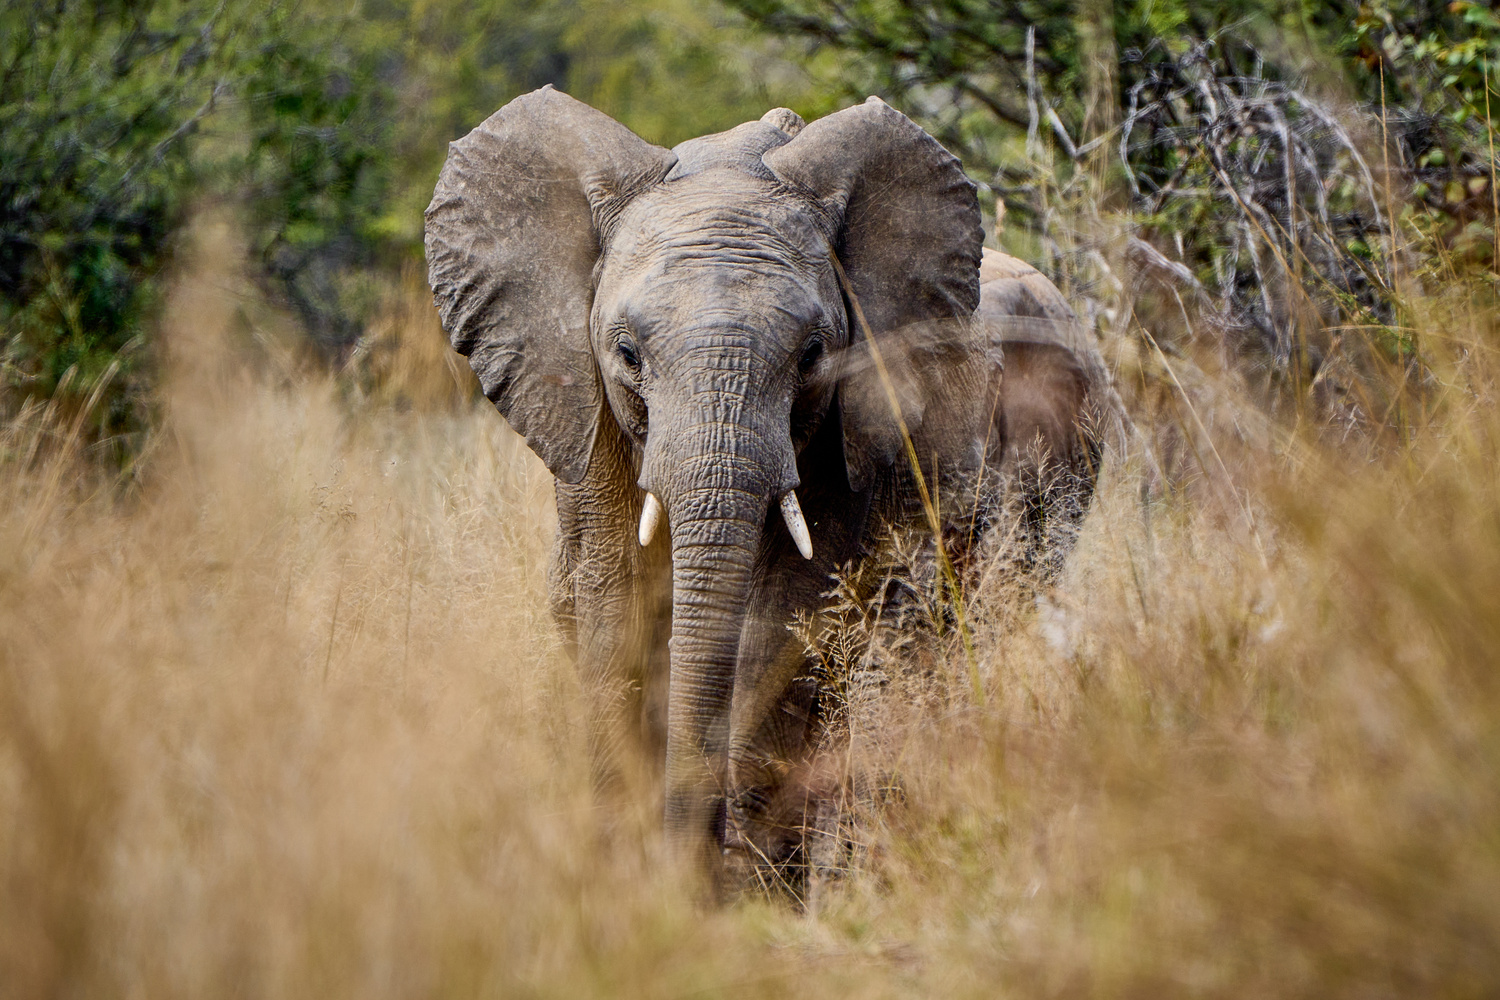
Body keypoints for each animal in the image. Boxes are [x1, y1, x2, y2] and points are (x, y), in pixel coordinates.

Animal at [424, 86, 1115, 887]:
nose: (684, 863)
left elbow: (786, 620)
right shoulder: (586, 411)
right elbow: (613, 605)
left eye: (814, 354)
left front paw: (744, 885)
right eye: (626, 353)